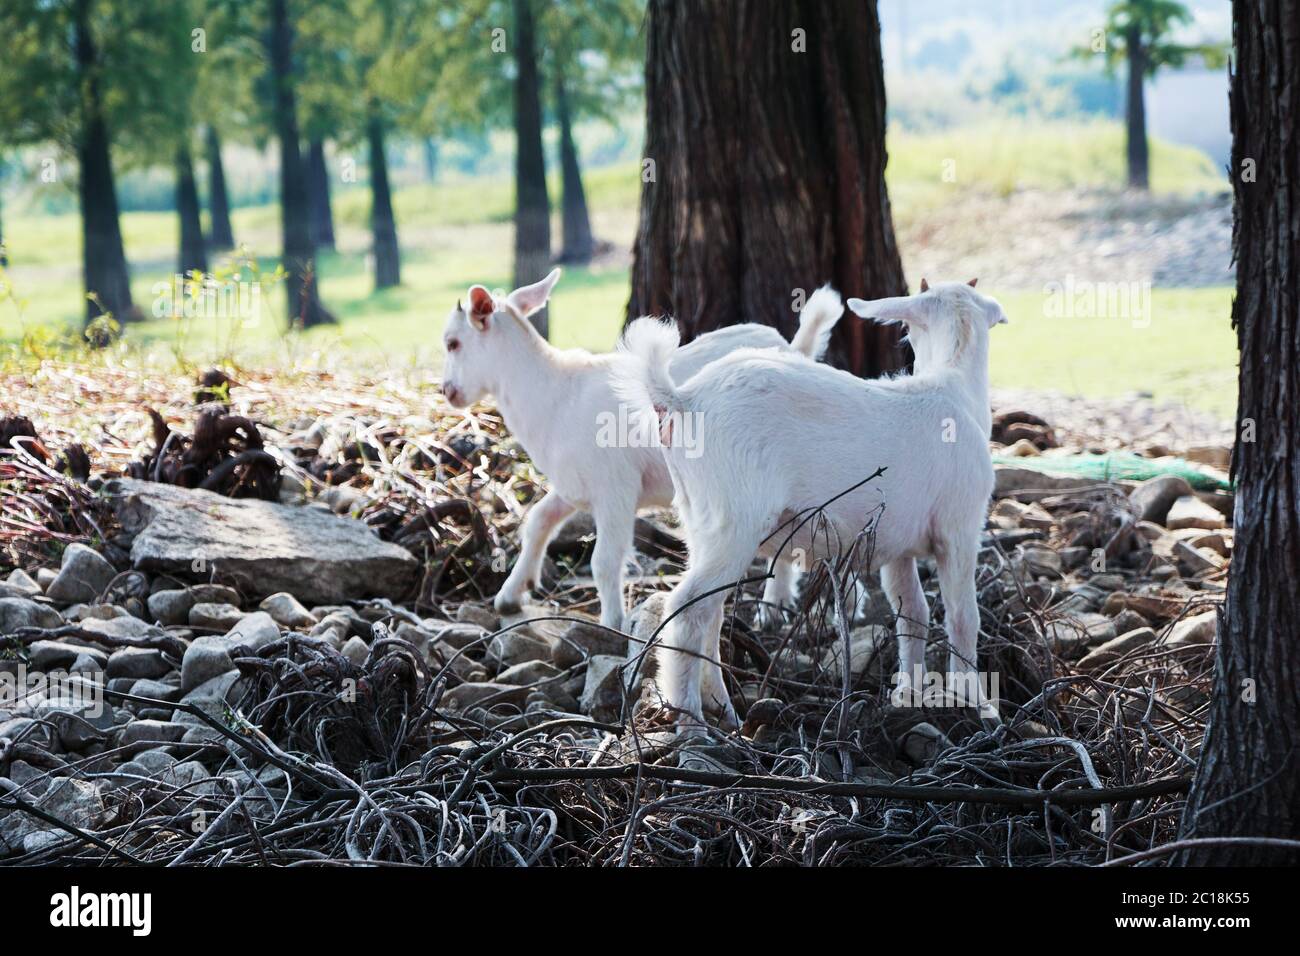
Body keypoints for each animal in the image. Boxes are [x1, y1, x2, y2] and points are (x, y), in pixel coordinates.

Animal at [440, 269, 844, 631]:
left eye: (452, 343)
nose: (447, 391)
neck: (557, 394)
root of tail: (796, 350)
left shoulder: (615, 488)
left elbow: (604, 561)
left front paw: (612, 624)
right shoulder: (575, 485)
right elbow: (539, 520)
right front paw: (510, 596)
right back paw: (777, 606)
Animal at [617, 281, 1006, 731]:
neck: (953, 386)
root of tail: (684, 399)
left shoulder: (898, 546)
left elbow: (913, 615)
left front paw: (908, 695)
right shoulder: (960, 529)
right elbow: (962, 618)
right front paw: (975, 704)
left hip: (700, 516)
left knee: (709, 610)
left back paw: (723, 708)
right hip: (734, 519)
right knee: (687, 607)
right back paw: (691, 721)